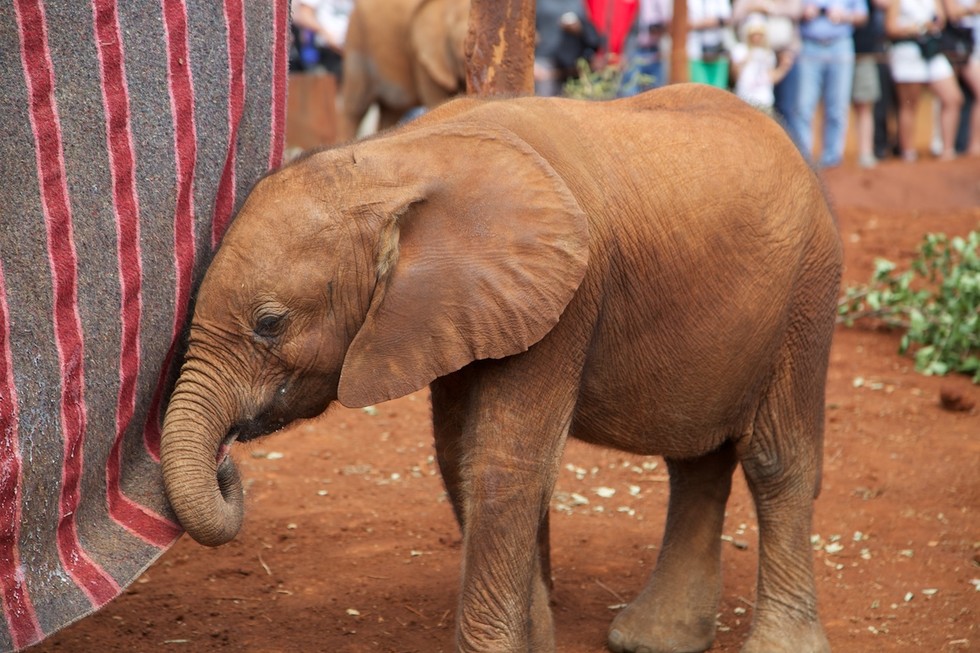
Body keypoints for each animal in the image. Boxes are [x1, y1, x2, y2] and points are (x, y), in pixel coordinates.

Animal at [160, 84, 842, 653]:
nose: (228, 468)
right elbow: (458, 457)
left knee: (775, 460)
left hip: (808, 290)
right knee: (695, 459)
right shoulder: (455, 310)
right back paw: (654, 641)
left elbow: (503, 467)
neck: (398, 158)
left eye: (269, 323)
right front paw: (536, 641)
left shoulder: (566, 296)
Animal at [339, 0, 470, 140]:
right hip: (357, 38)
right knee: (355, 109)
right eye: (465, 57)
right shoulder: (421, 56)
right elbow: (438, 101)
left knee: (391, 112)